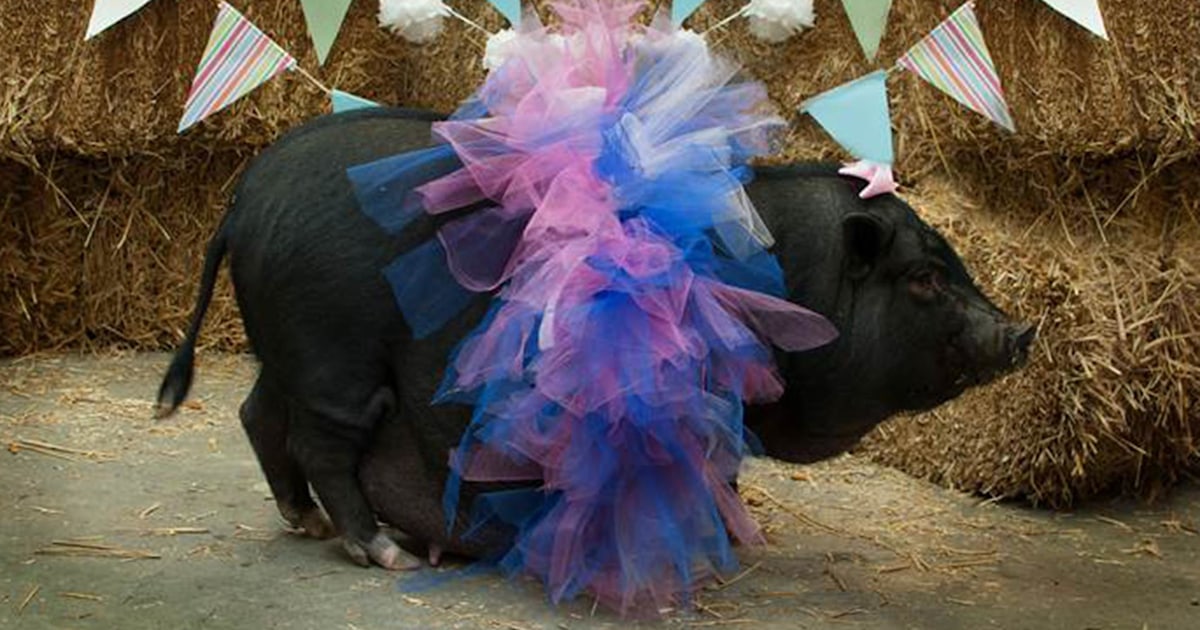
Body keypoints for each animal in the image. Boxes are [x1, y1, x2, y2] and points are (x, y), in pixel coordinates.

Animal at [156, 107, 1034, 570]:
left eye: (951, 264)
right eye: (922, 278)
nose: (1023, 329)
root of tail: (244, 197)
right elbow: (710, 467)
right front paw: (709, 552)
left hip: (286, 347)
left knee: (259, 417)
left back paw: (305, 524)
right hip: (330, 348)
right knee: (322, 444)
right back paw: (384, 551)